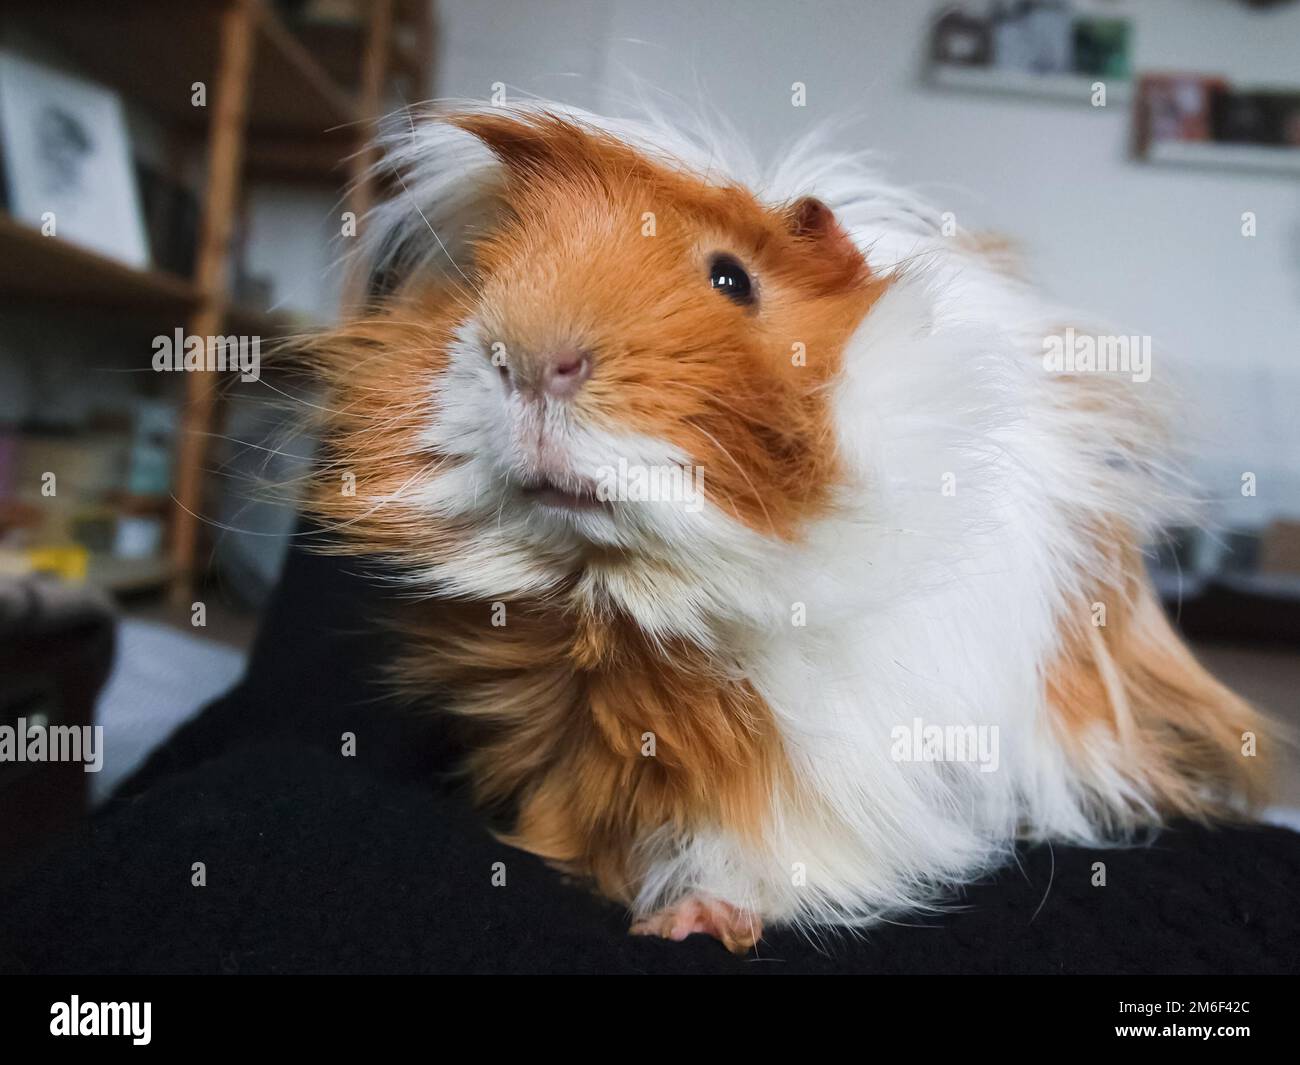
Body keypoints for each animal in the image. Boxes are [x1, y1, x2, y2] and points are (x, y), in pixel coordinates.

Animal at [304, 104, 1269, 953]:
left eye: (732, 277)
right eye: (491, 268)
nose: (532, 358)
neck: (621, 604)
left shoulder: (829, 774)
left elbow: (763, 854)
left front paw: (686, 920)